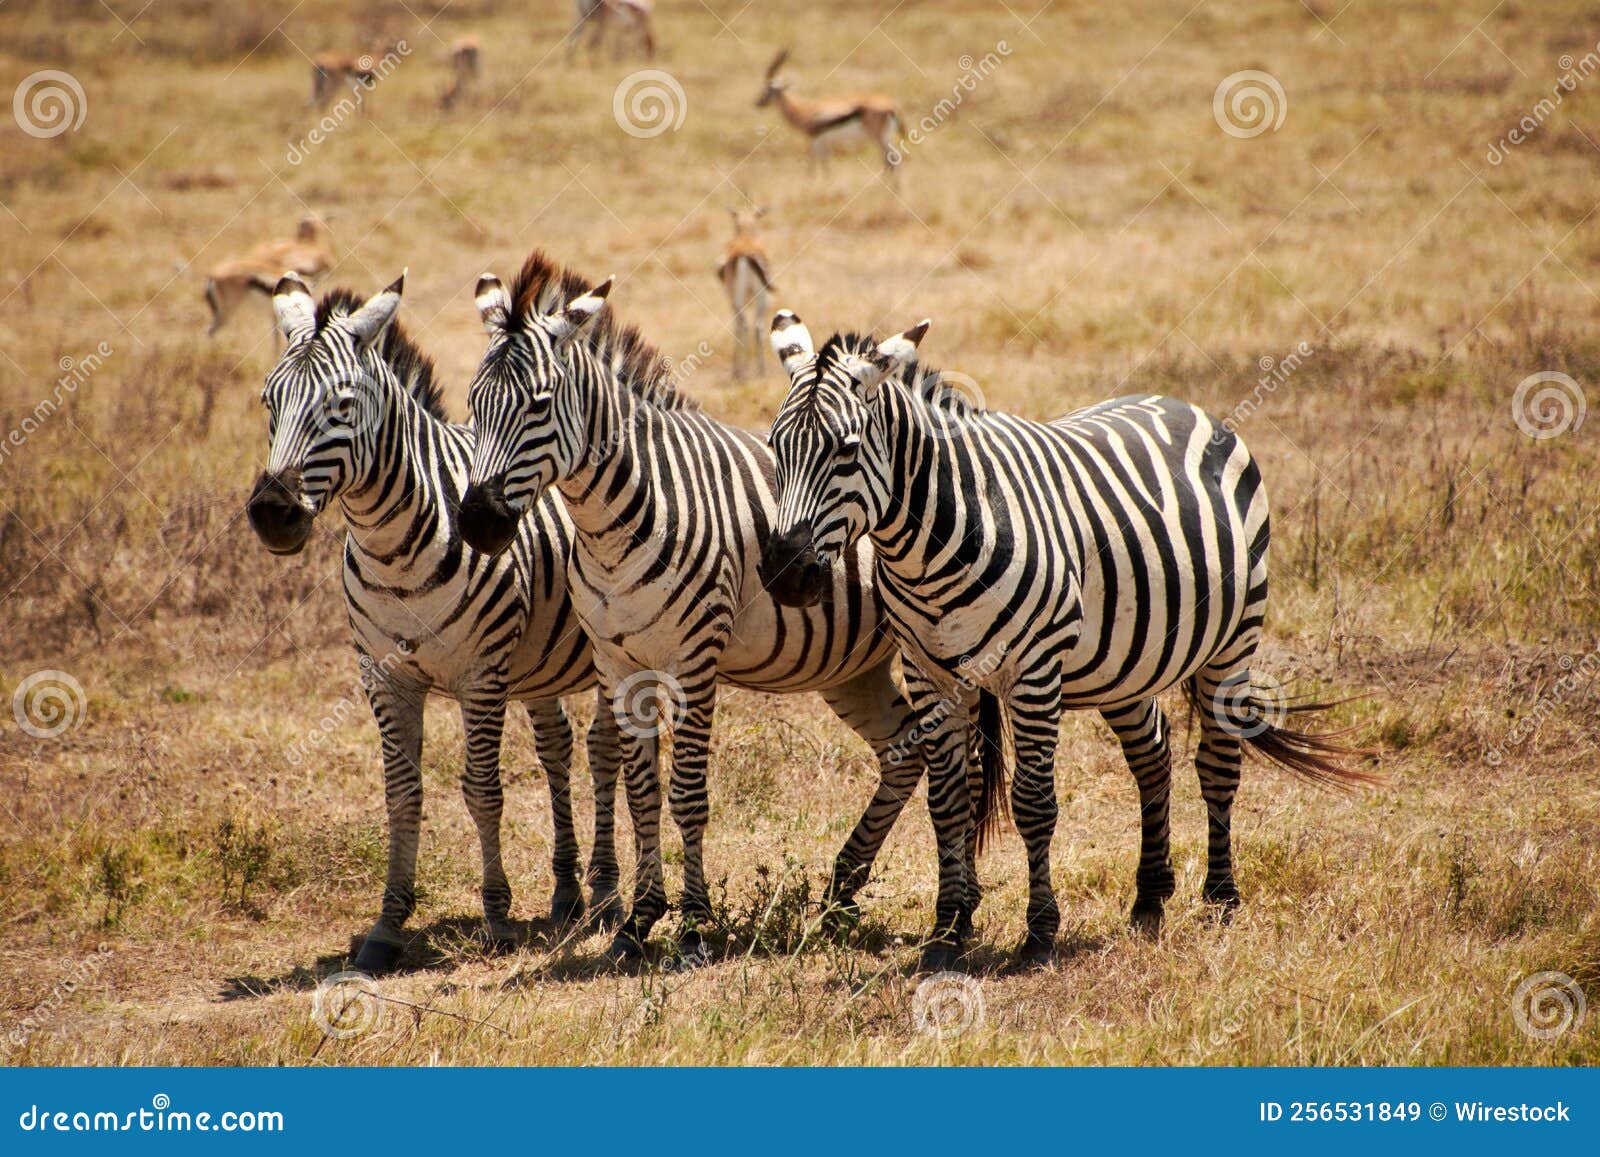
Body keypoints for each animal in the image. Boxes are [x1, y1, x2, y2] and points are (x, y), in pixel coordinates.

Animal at [244, 271, 624, 974]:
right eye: (268, 400)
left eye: (341, 405)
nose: (272, 514)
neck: (393, 548)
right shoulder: (384, 676)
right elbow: (401, 794)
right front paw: (387, 926)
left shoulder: (482, 675)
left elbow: (483, 790)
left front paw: (497, 918)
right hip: (540, 665)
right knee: (556, 749)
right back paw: (566, 893)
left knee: (604, 751)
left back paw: (609, 894)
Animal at [452, 251, 1002, 962]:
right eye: (473, 403)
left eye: (540, 406)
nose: (477, 523)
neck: (613, 522)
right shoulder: (619, 664)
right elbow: (640, 791)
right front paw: (637, 923)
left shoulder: (694, 660)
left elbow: (687, 792)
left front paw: (691, 924)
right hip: (854, 668)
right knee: (905, 752)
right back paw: (842, 892)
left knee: (959, 764)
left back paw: (954, 909)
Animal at [757, 311, 1369, 970]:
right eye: (774, 445)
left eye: (845, 450)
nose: (785, 575)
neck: (929, 546)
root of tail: (1180, 403)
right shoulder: (931, 673)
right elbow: (947, 800)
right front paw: (947, 931)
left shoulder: (1033, 671)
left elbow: (1032, 803)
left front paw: (1039, 934)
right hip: (1126, 663)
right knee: (1153, 756)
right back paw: (1149, 898)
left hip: (1234, 639)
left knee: (1218, 762)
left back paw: (1222, 897)